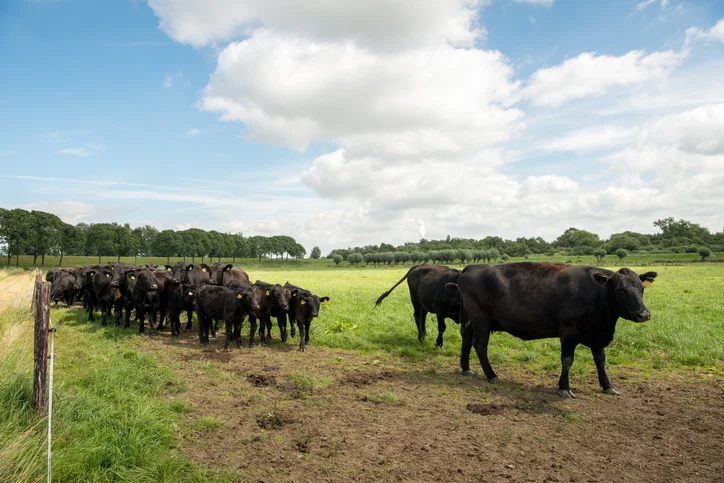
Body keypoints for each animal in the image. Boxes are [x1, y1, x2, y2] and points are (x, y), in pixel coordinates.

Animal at [447, 262, 657, 398]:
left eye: (641, 289)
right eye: (620, 290)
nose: (644, 314)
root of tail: (472, 267)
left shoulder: (597, 335)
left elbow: (600, 360)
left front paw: (608, 386)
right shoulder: (568, 333)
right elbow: (567, 360)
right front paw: (564, 387)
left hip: (475, 321)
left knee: (467, 338)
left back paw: (466, 368)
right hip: (481, 319)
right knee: (480, 345)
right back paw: (492, 375)